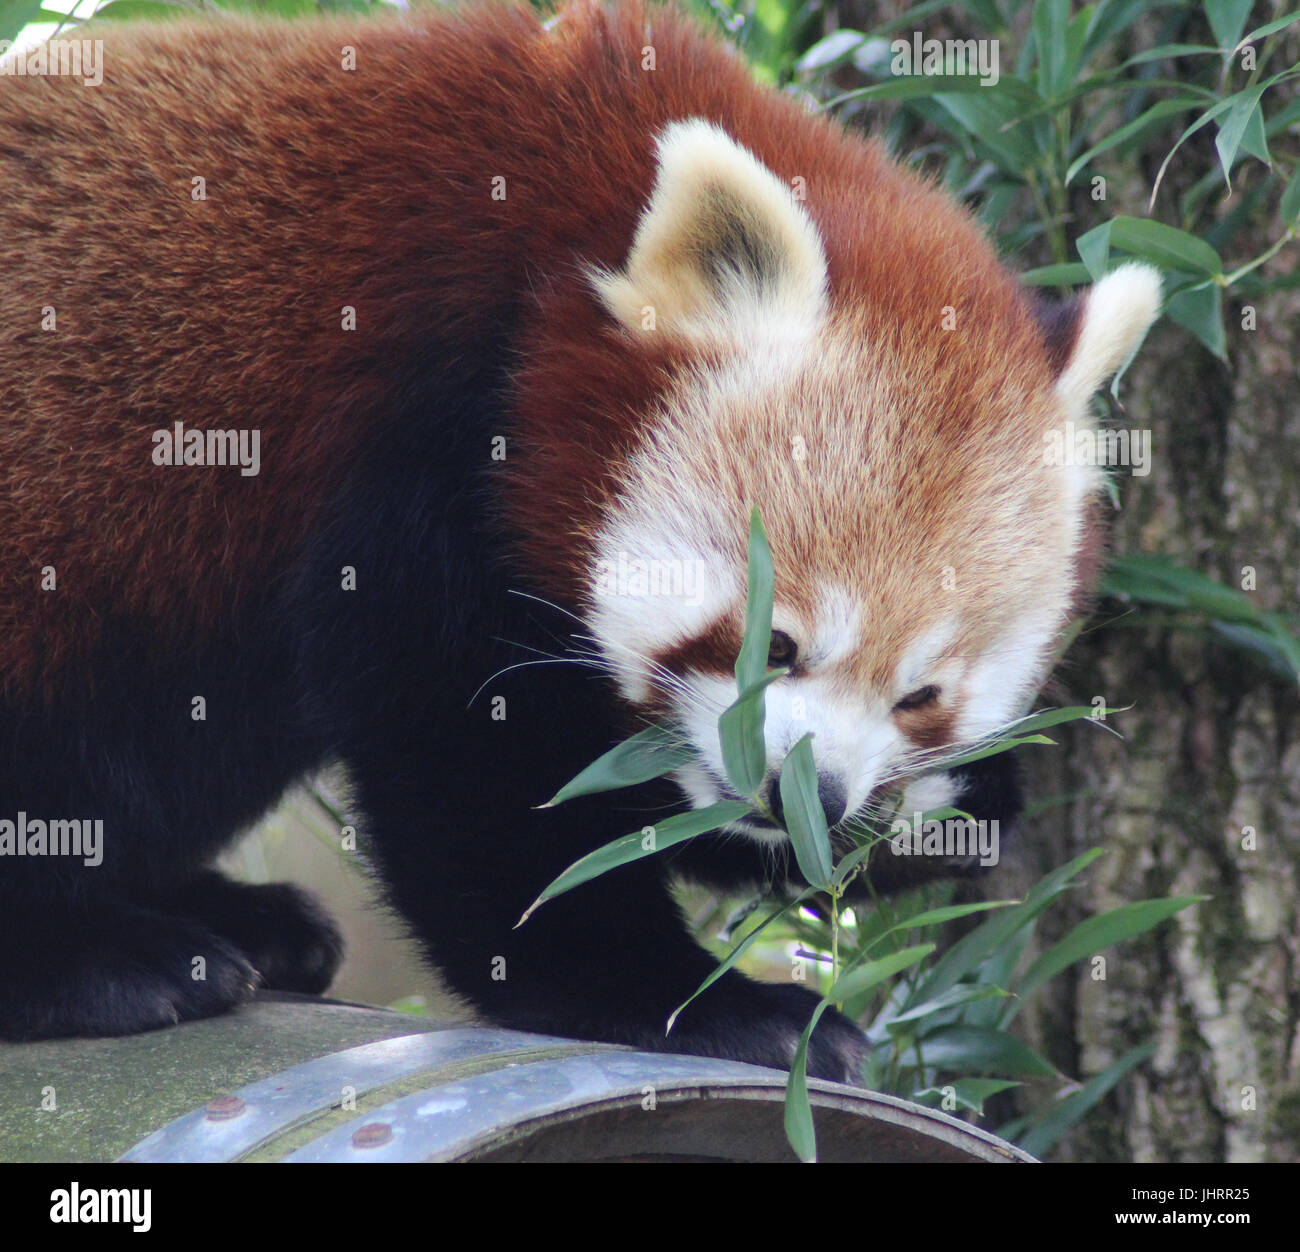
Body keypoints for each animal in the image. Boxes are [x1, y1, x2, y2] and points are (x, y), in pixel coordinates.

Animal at [0, 0, 1159, 1082]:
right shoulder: (416, 428)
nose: (808, 797)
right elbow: (476, 780)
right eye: (777, 643)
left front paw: (947, 814)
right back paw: (102, 957)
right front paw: (699, 1002)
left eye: (921, 696)